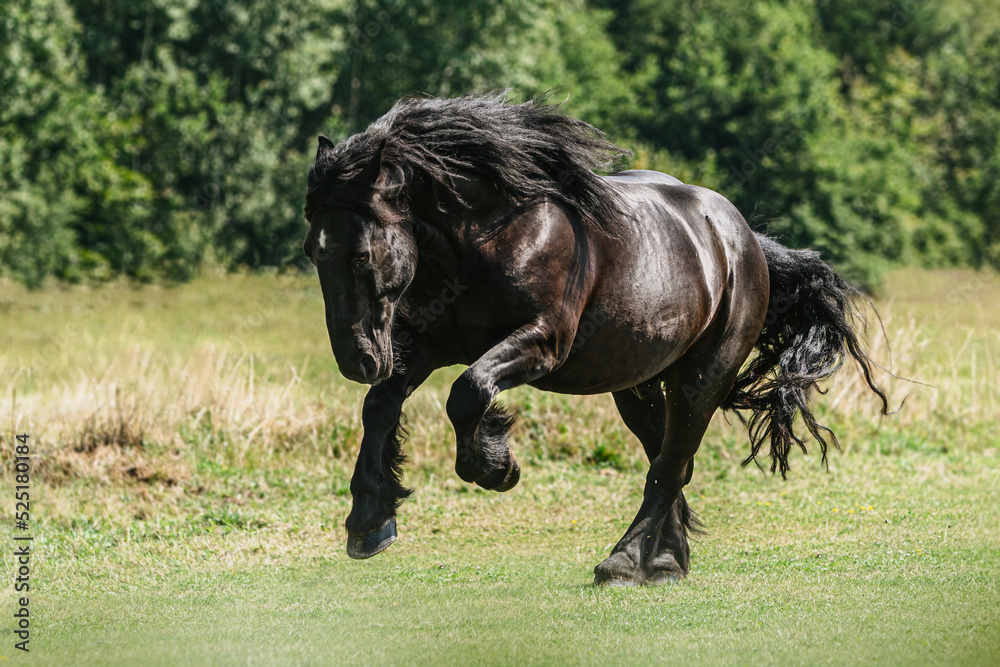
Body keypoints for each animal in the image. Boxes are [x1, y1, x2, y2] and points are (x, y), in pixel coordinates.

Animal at [303, 93, 888, 585]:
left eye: (361, 254)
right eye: (313, 250)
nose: (356, 359)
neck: (488, 239)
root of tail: (740, 238)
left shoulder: (541, 342)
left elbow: (467, 392)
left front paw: (495, 466)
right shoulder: (427, 344)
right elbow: (380, 406)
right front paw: (369, 520)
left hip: (703, 378)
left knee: (670, 463)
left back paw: (624, 562)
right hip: (638, 385)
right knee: (670, 460)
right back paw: (666, 561)